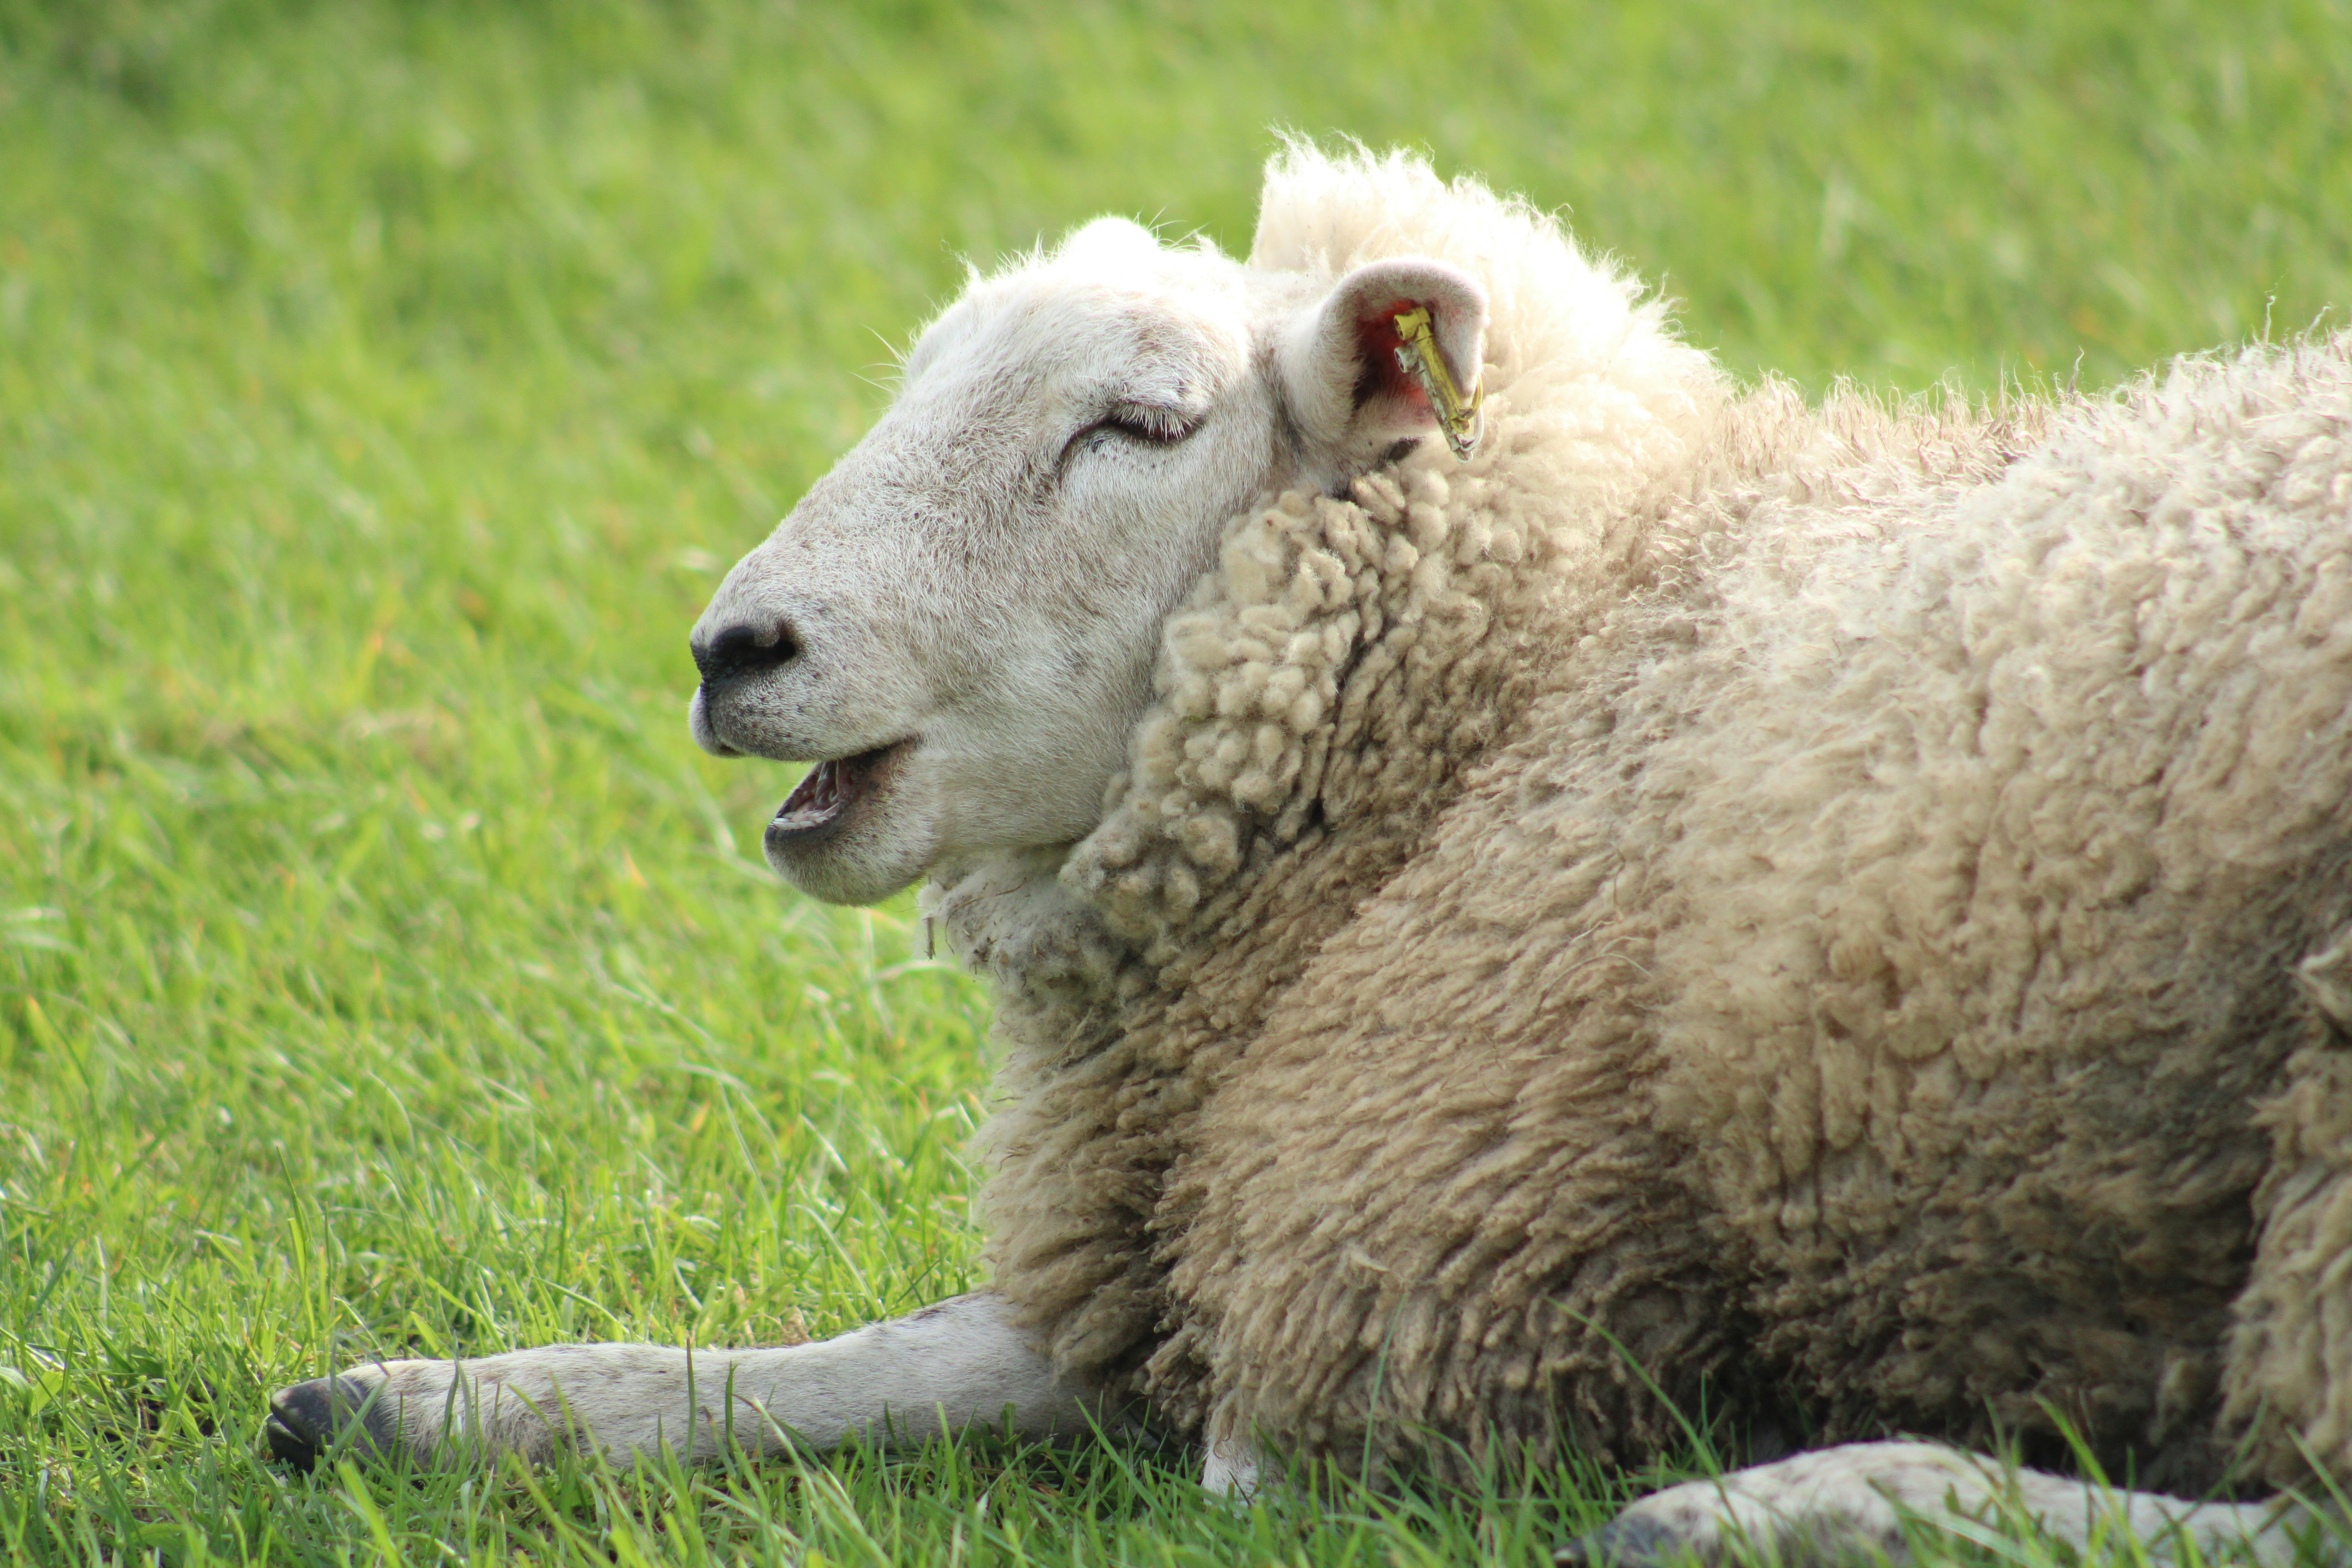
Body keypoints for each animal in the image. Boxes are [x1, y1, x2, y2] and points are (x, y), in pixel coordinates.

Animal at [265, 144, 2352, 1564]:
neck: (1540, 671)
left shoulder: (1412, 1247)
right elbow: (888, 1356)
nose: (732, 650)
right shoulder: (1155, 1236)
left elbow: (1236, 1456)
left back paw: (1796, 1502)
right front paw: (434, 1404)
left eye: (1140, 424)